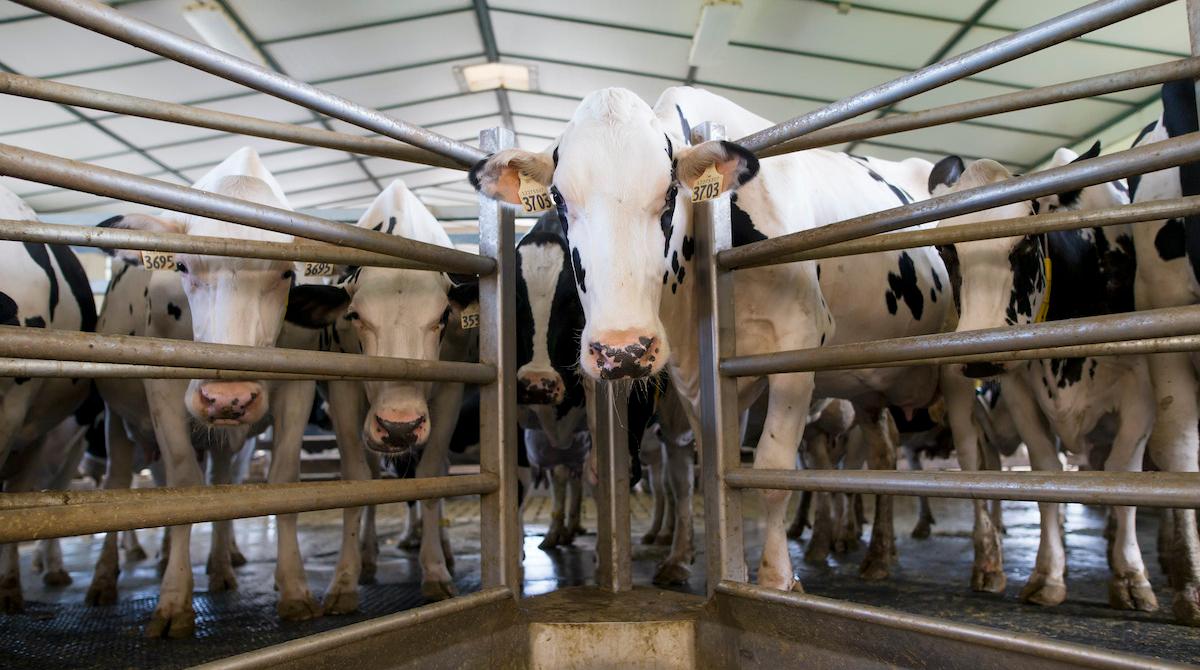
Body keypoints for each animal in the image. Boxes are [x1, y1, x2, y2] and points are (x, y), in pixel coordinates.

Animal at [469, 86, 953, 590]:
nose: (623, 350)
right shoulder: (699, 379)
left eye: (669, 194)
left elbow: (771, 471)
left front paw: (776, 580)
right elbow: (711, 472)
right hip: (870, 393)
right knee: (884, 454)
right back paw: (875, 552)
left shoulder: (796, 343)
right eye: (560, 200)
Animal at [931, 149, 1156, 613]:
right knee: (974, 465)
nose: (979, 356)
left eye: (1026, 242)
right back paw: (988, 565)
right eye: (946, 249)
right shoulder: (1020, 391)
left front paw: (1131, 575)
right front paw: (1048, 573)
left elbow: (1124, 473)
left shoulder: (1141, 390)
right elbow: (1045, 472)